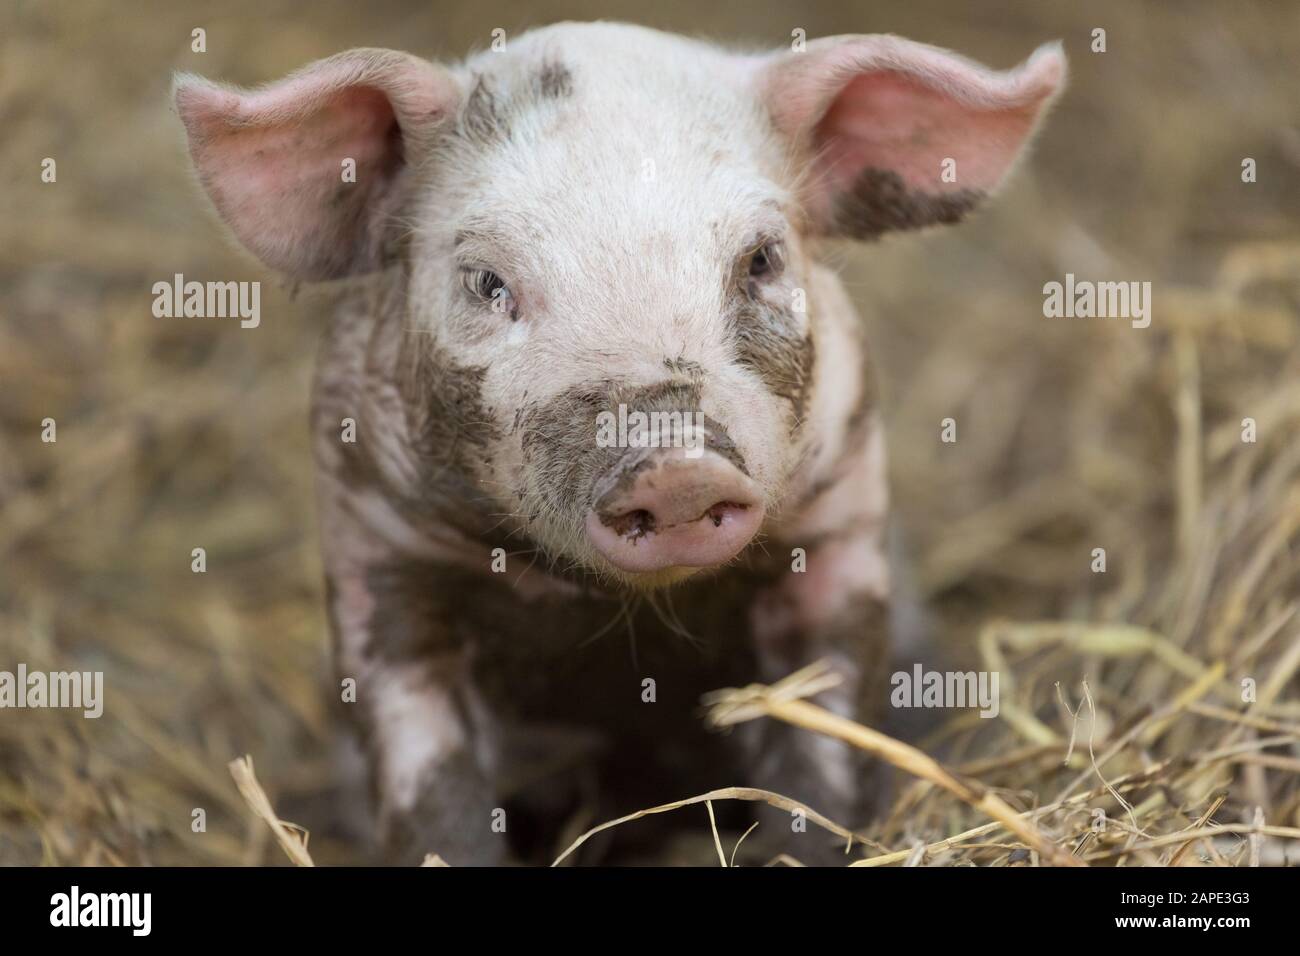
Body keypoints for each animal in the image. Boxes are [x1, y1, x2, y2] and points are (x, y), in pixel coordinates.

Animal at [175, 22, 1064, 865]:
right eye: (487, 283)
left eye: (761, 259)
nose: (675, 468)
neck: (616, 619)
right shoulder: (374, 553)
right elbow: (428, 784)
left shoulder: (843, 520)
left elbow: (824, 746)